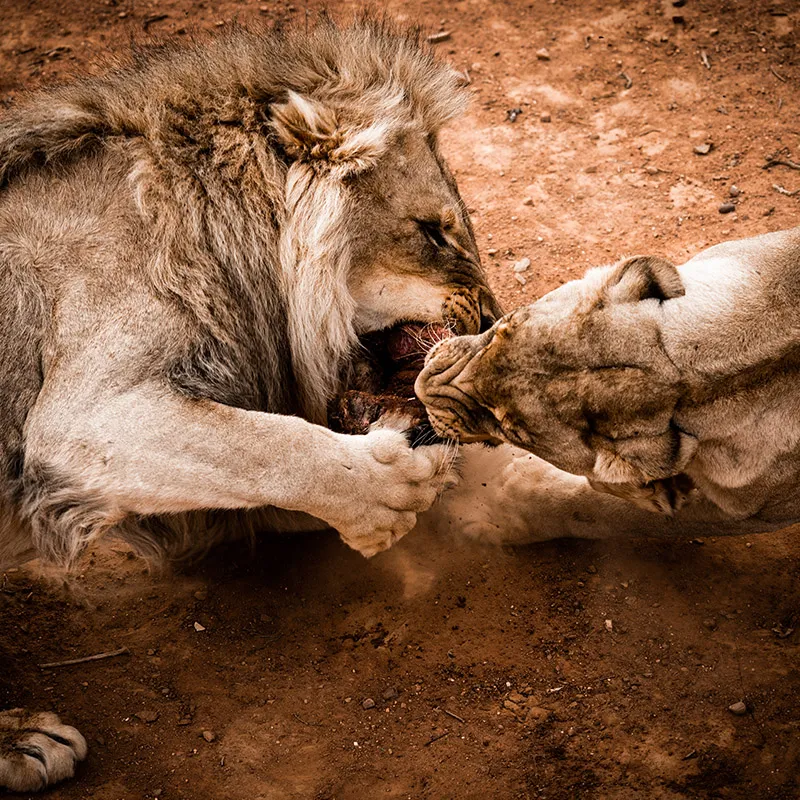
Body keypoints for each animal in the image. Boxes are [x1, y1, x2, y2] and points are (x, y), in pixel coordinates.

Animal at [0, 18, 500, 791]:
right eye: (433, 230)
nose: (496, 320)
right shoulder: (84, 418)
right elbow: (268, 445)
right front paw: (389, 492)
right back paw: (21, 740)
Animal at [417, 227, 800, 542]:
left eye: (511, 430)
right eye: (505, 325)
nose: (421, 387)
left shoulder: (744, 514)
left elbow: (605, 513)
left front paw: (507, 506)